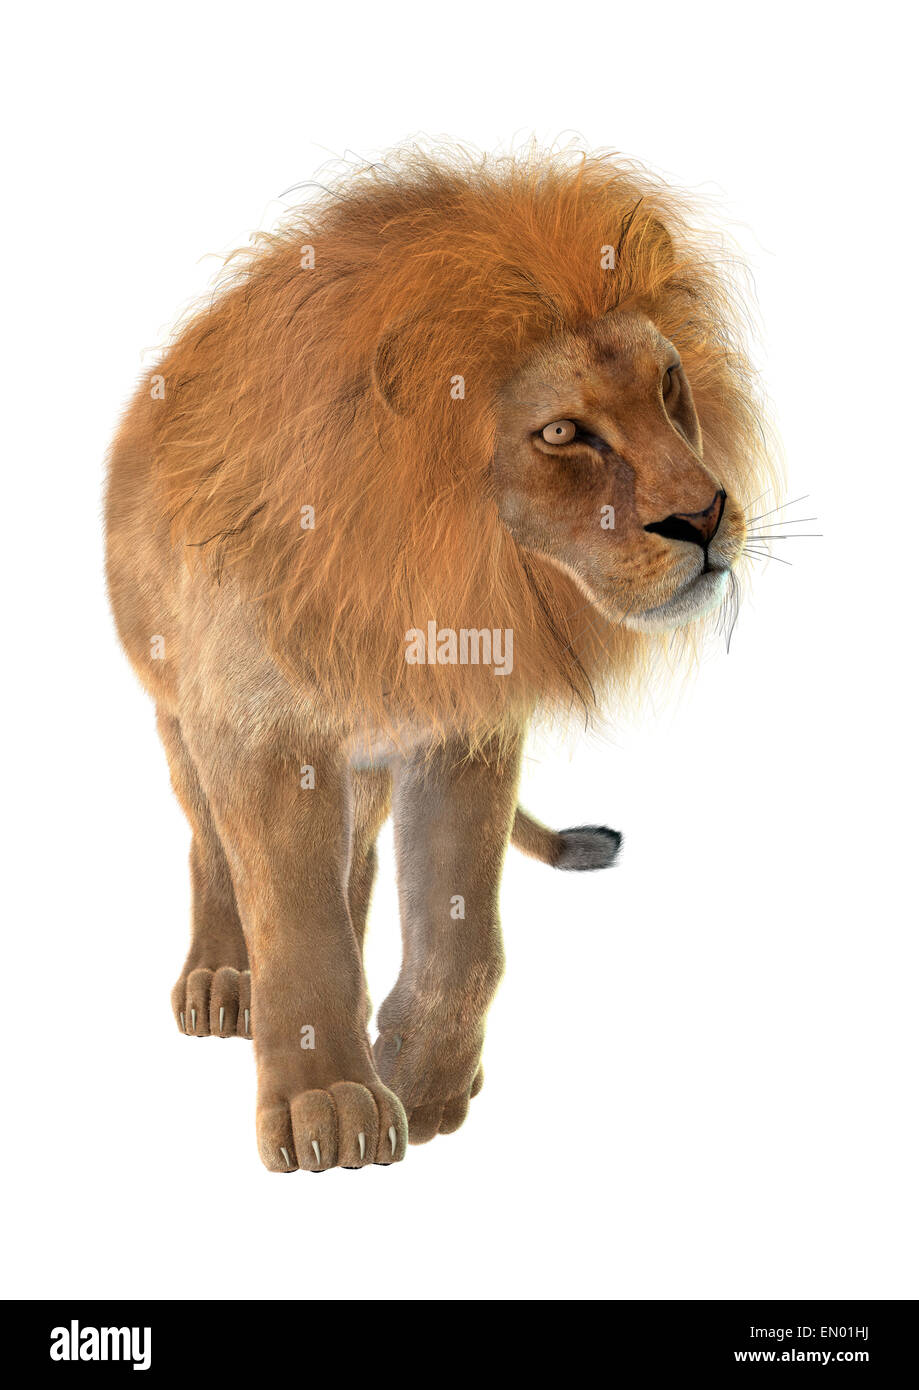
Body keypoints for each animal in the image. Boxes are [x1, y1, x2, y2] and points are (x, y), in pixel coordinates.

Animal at [105, 144, 778, 1171]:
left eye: (668, 386)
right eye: (561, 432)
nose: (704, 518)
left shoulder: (461, 731)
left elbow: (463, 937)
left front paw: (421, 1086)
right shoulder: (259, 731)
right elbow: (293, 920)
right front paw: (328, 1101)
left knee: (354, 861)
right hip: (178, 712)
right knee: (212, 847)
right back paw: (223, 977)